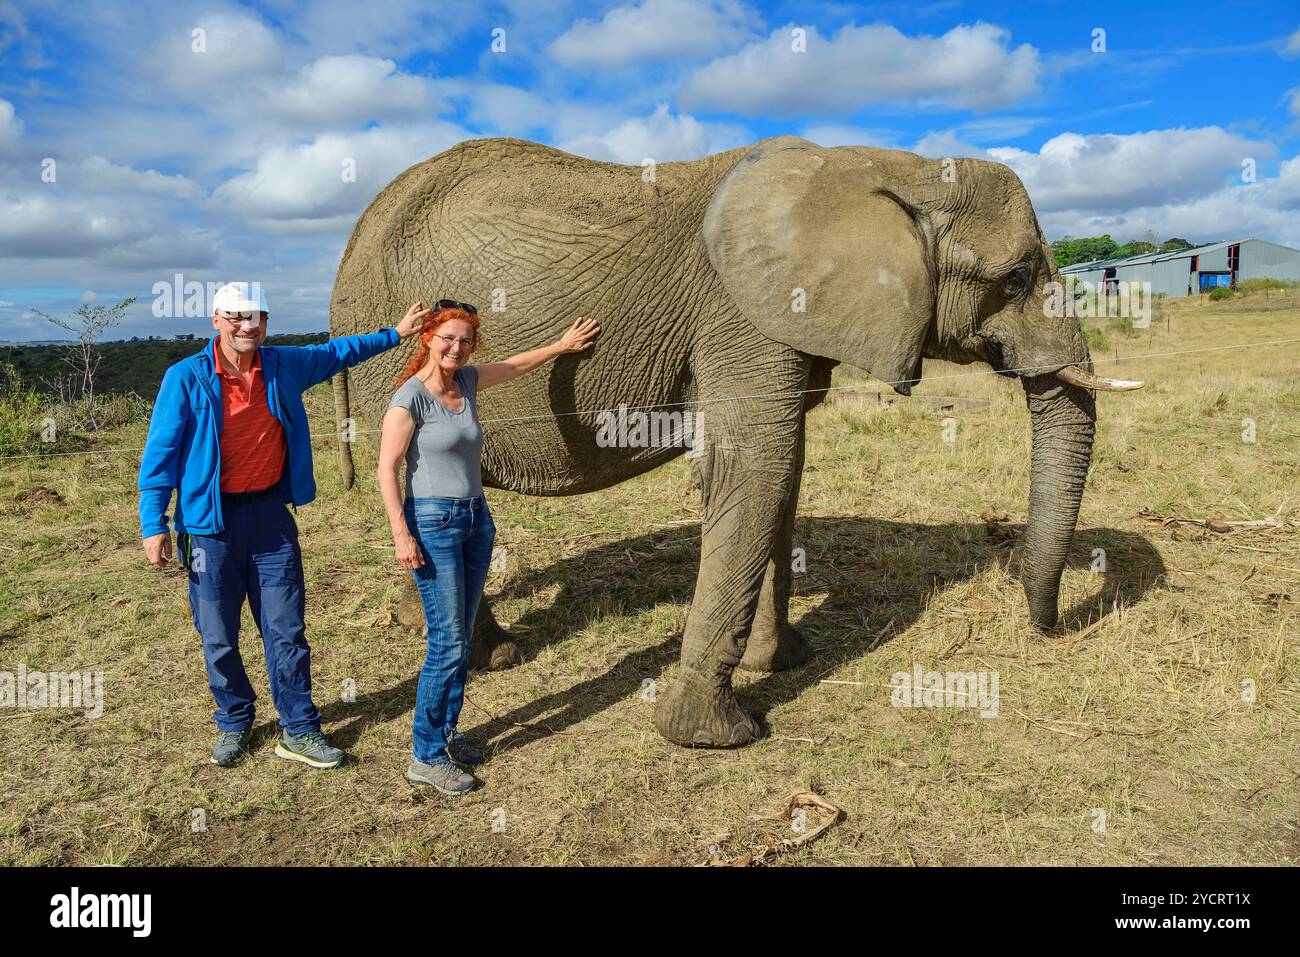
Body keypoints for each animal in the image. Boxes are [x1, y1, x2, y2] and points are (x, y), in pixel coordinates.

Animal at [328, 135, 1142, 748]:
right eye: (1017, 275)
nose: (1047, 626)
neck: (883, 167)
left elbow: (784, 466)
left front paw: (781, 660)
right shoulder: (740, 314)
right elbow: (757, 465)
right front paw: (714, 735)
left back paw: (479, 646)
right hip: (386, 357)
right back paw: (486, 653)